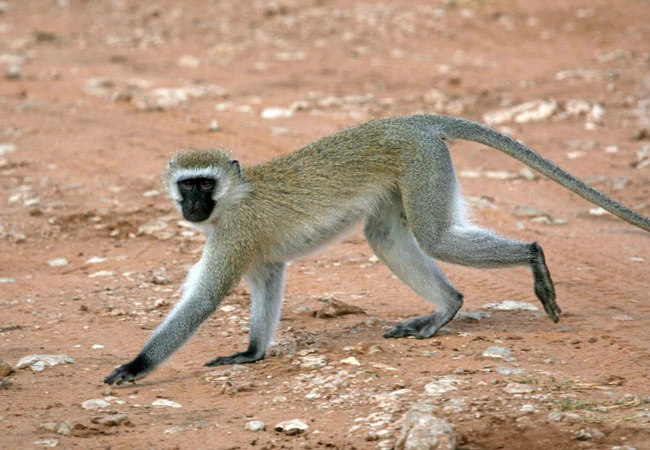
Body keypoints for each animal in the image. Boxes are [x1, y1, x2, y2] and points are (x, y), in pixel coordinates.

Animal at [104, 114, 650, 385]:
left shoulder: (235, 233)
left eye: (204, 185)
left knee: (436, 237)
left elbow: (202, 300)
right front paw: (252, 353)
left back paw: (533, 256)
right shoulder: (257, 253)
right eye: (186, 185)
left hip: (423, 161)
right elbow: (268, 280)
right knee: (386, 237)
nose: (193, 206)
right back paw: (446, 307)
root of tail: (410, 121)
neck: (235, 197)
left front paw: (135, 366)